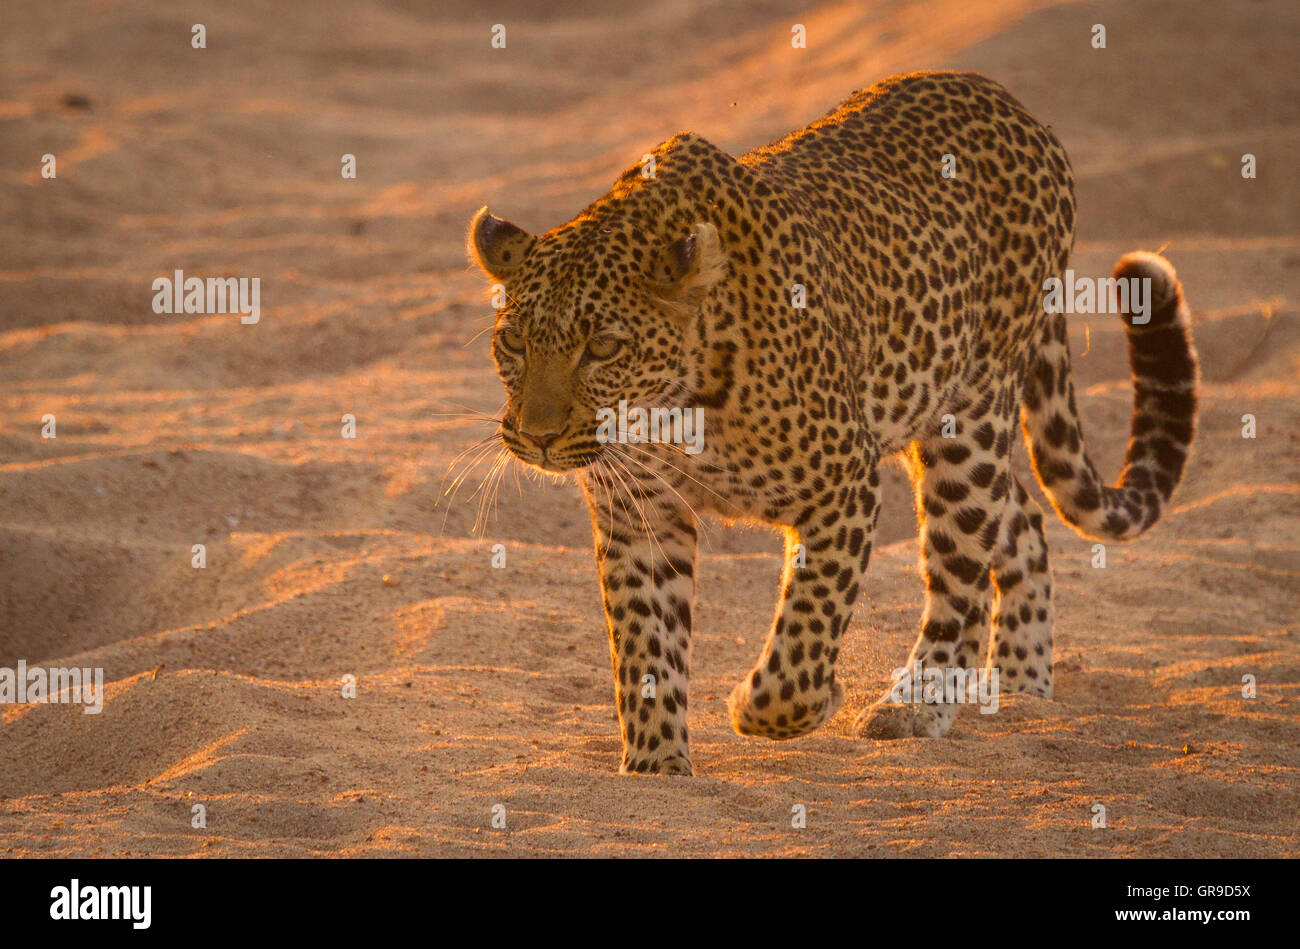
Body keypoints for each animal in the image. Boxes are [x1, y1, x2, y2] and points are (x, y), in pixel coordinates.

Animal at [465, 71, 1198, 775]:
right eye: (513, 343)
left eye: (603, 348)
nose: (537, 436)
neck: (673, 411)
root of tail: (1015, 107)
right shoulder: (640, 511)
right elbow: (646, 645)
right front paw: (654, 764)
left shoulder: (844, 486)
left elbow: (805, 634)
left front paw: (779, 704)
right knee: (1020, 521)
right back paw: (1020, 685)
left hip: (971, 420)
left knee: (961, 573)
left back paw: (916, 705)